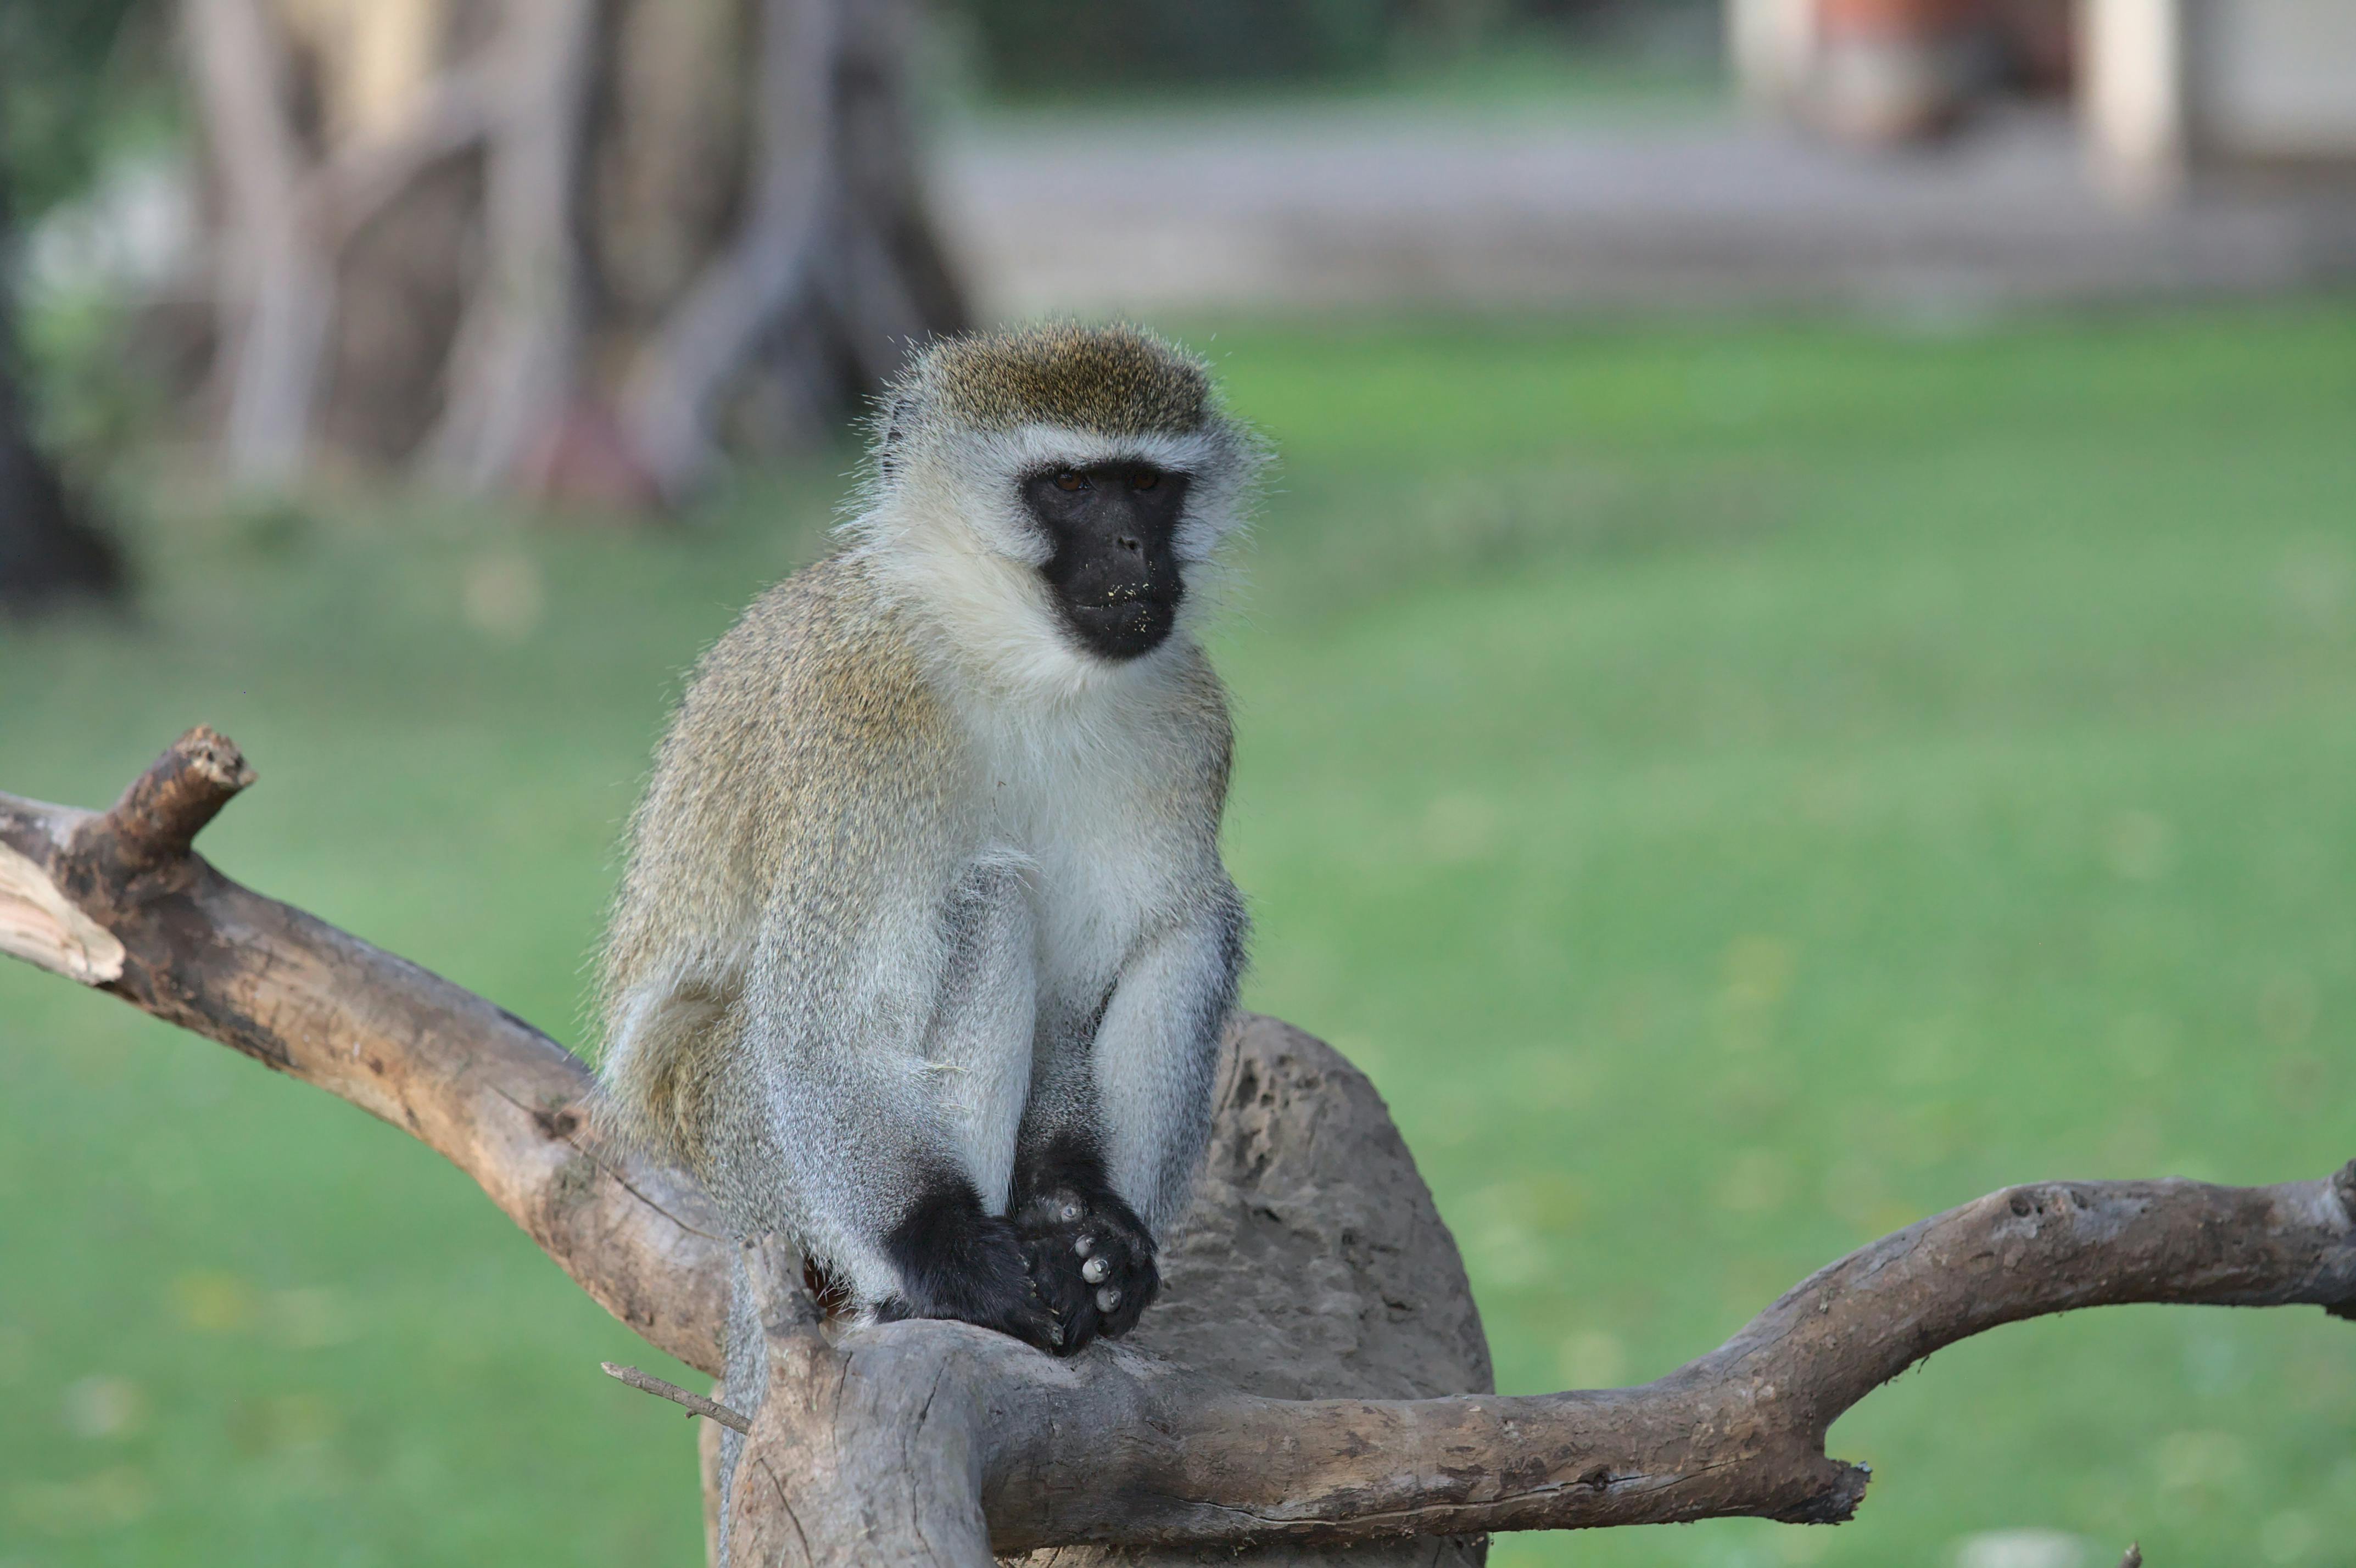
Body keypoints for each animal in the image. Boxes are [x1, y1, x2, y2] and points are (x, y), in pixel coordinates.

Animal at [595, 325, 1257, 1405]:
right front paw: (947, 1252)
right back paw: (907, 1298)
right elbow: (826, 1024)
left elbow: (1083, 991)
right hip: (747, 1144)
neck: (1012, 662)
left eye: (1147, 487)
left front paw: (1085, 1221)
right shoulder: (858, 717)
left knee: (1194, 924)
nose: (1135, 549)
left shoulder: (1186, 724)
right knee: (986, 898)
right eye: (1069, 486)